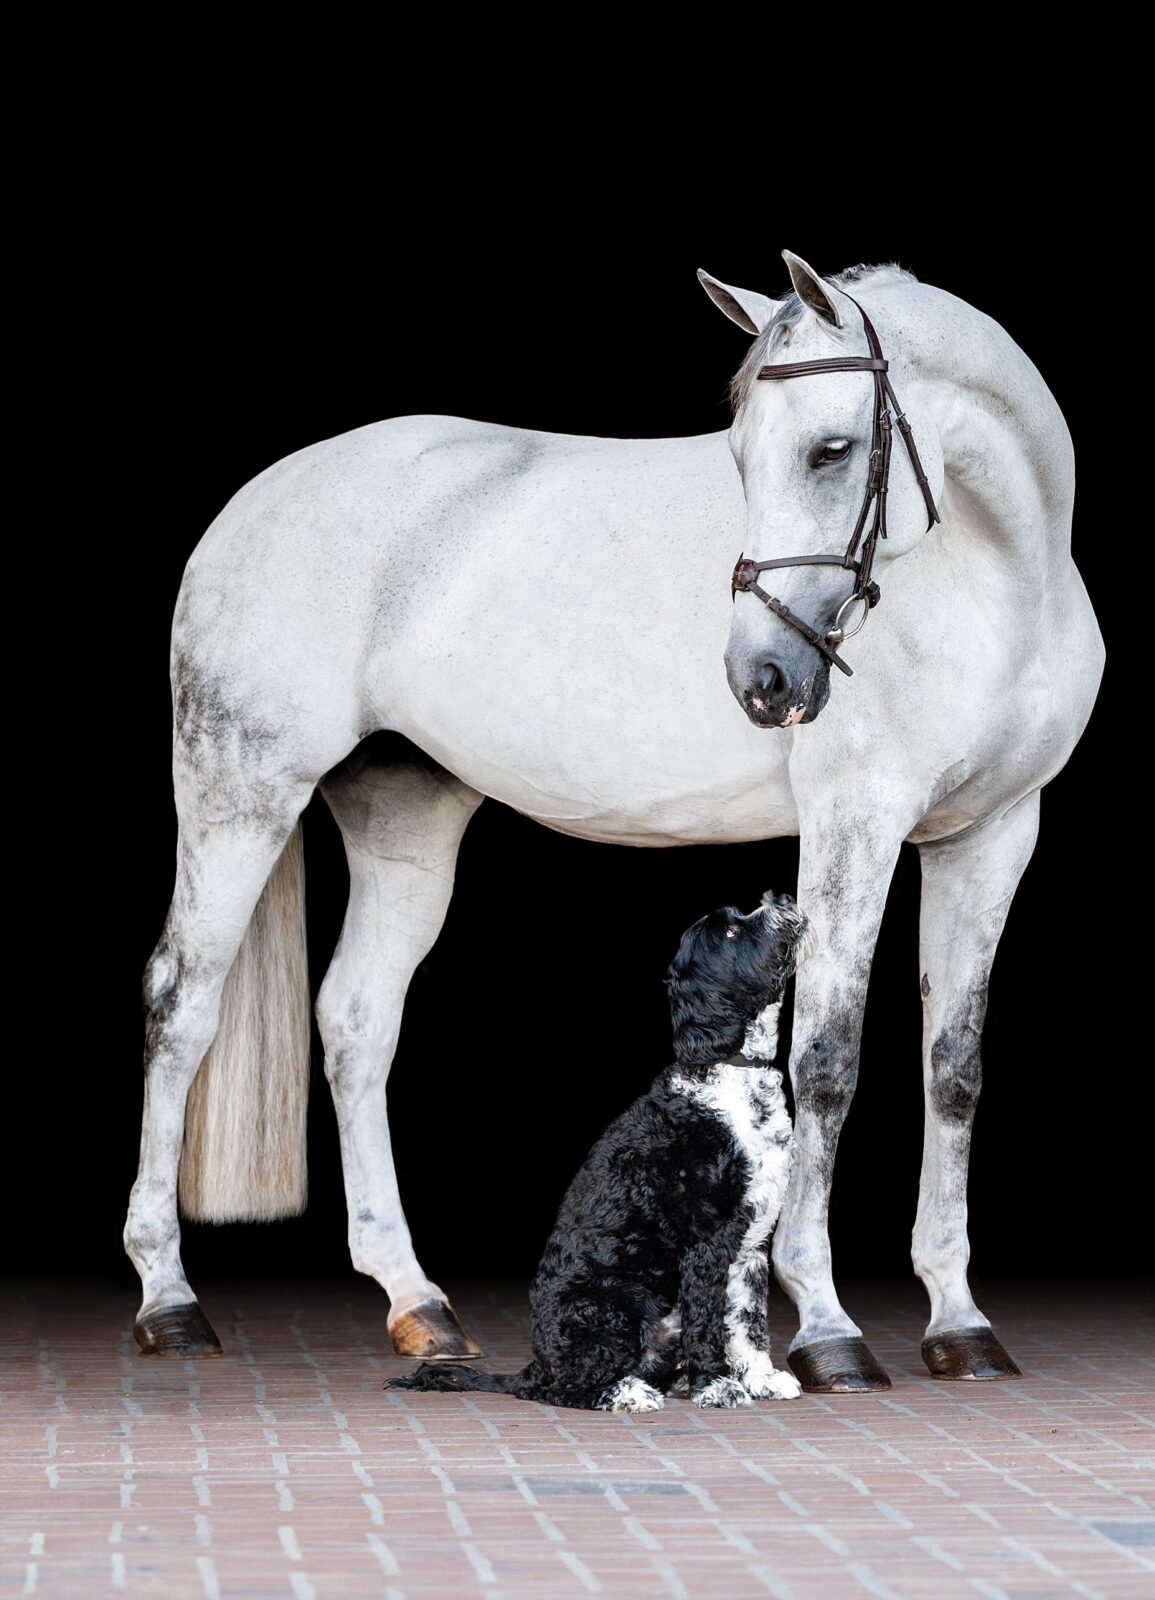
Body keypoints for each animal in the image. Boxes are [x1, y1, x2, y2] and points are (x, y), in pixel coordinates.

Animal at [125, 251, 1103, 1391]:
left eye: (830, 448)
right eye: (738, 455)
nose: (761, 679)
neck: (996, 587)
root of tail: (254, 501)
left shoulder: (992, 835)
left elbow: (953, 1067)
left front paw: (959, 1321)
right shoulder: (852, 822)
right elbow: (826, 1060)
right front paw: (826, 1326)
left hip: (402, 813)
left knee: (358, 1020)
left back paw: (420, 1305)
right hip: (239, 790)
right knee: (182, 1005)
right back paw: (169, 1300)